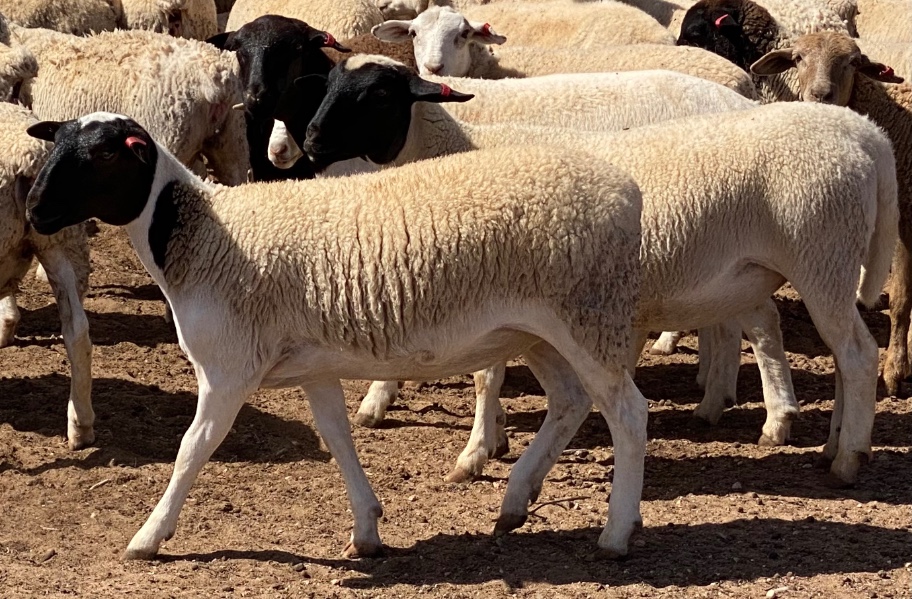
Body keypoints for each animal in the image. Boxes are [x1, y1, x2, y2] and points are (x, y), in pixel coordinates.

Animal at [25, 111, 648, 560]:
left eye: (105, 153)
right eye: (55, 146)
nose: (33, 211)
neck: (198, 236)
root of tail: (627, 192)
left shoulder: (228, 369)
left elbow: (190, 451)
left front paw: (148, 538)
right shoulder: (313, 366)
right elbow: (336, 438)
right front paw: (367, 529)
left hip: (588, 316)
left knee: (626, 412)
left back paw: (615, 534)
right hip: (540, 331)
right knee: (570, 402)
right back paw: (517, 502)